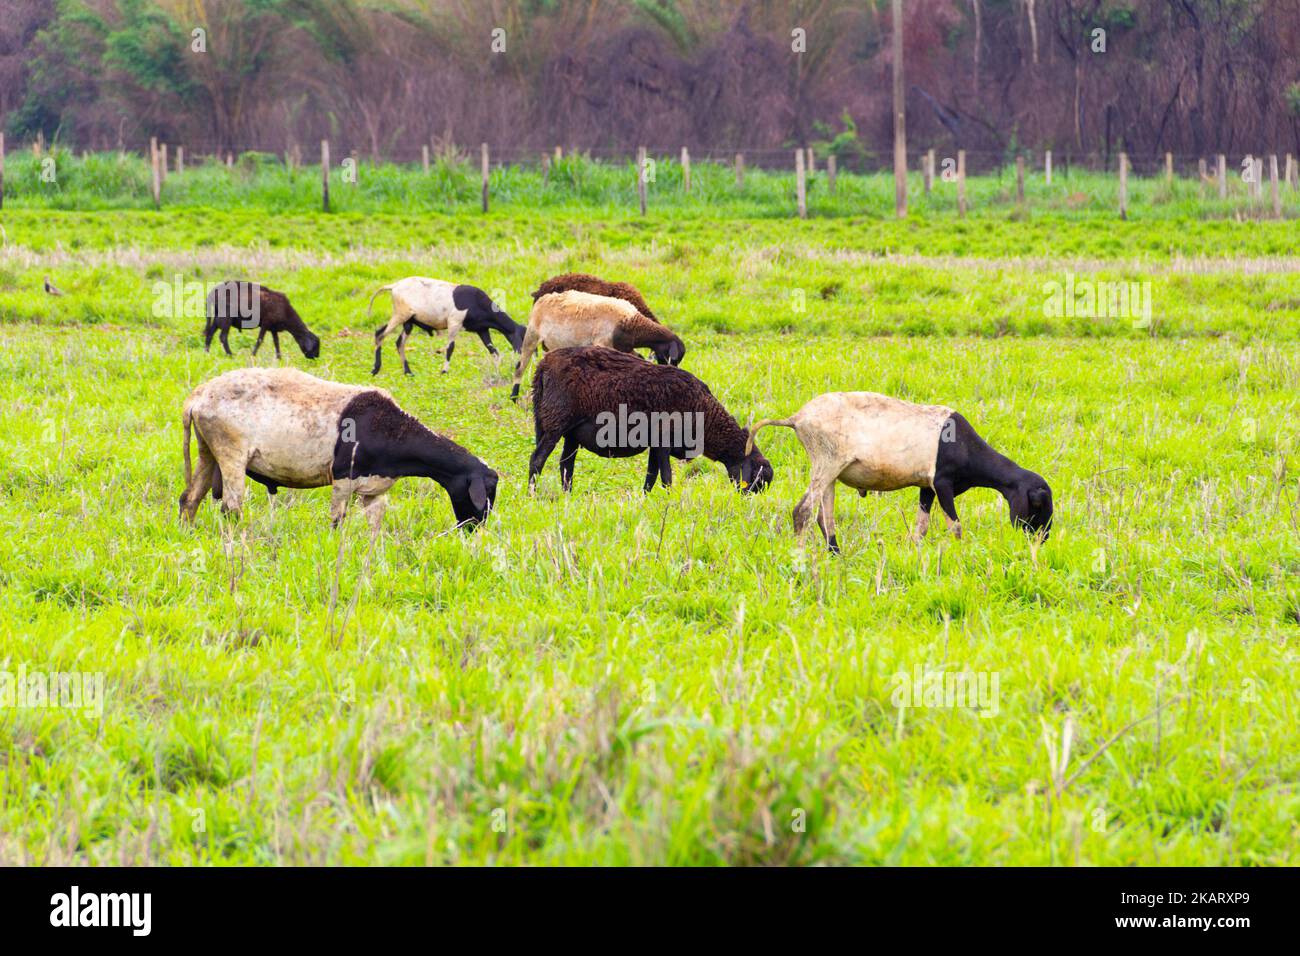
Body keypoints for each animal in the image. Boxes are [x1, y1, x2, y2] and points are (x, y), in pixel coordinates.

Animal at [179, 367, 498, 533]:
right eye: (482, 495)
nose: (474, 529)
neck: (392, 431)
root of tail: (199, 397)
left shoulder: (374, 490)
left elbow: (374, 526)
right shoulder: (344, 477)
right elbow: (336, 521)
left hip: (208, 450)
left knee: (190, 499)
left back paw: (188, 533)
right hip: (230, 451)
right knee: (230, 506)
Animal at [368, 277, 525, 376]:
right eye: (523, 339)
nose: (523, 357)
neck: (477, 302)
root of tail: (394, 286)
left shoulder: (482, 330)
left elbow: (494, 351)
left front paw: (497, 371)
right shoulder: (454, 323)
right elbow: (450, 348)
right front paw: (444, 371)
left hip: (409, 322)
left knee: (398, 342)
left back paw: (408, 372)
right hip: (400, 315)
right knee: (380, 334)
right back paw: (375, 369)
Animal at [509, 291, 687, 402]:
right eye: (673, 358)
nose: (674, 373)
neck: (629, 323)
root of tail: (543, 298)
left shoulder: (624, 348)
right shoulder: (601, 345)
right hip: (531, 336)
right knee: (520, 367)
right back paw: (514, 398)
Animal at [528, 346, 772, 495]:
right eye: (757, 479)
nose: (745, 503)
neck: (703, 412)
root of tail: (543, 366)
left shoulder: (655, 446)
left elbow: (650, 478)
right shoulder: (664, 442)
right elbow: (666, 477)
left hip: (569, 433)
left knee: (566, 466)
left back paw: (567, 497)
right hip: (555, 423)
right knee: (537, 460)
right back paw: (532, 495)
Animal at [748, 392, 1053, 554]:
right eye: (1038, 504)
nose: (1042, 540)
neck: (964, 445)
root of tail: (797, 418)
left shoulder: (927, 487)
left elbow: (921, 528)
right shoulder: (942, 483)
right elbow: (955, 526)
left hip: (830, 472)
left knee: (825, 517)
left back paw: (836, 553)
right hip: (826, 463)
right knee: (802, 511)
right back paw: (800, 554)